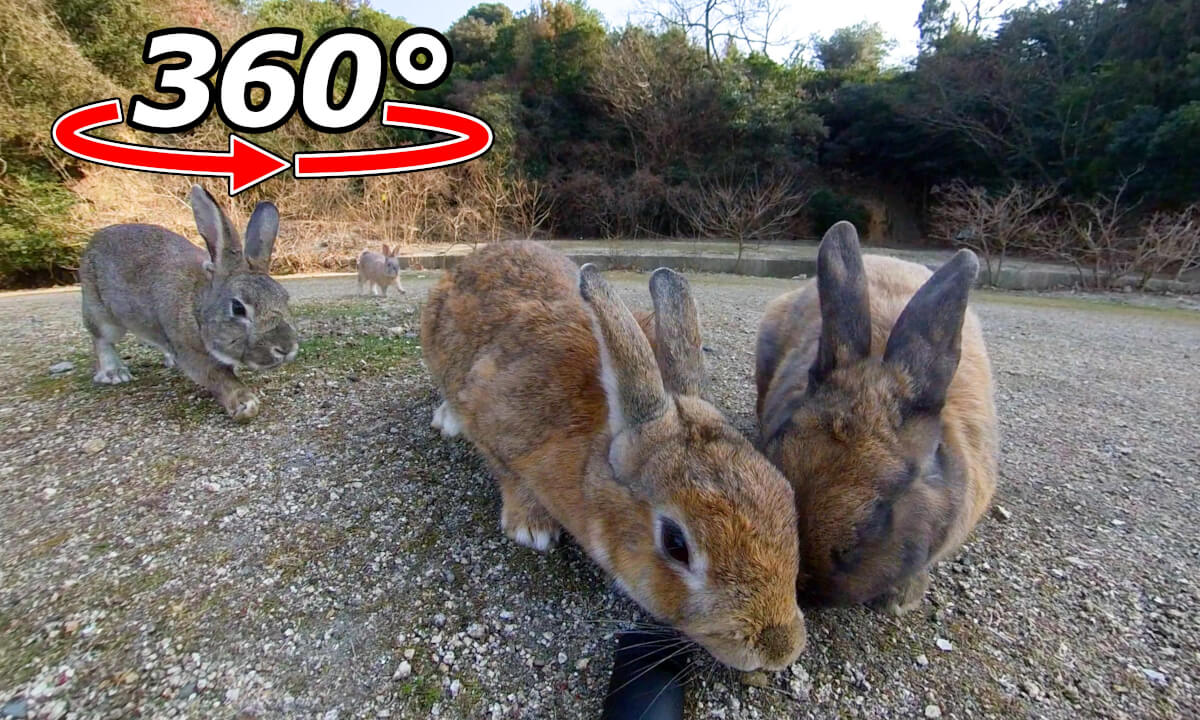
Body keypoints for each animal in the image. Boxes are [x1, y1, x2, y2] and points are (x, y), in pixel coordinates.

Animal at [79, 185, 299, 423]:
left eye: (285, 297)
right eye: (238, 308)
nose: (286, 348)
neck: (197, 307)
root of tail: (95, 238)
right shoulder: (191, 352)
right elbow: (218, 377)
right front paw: (244, 404)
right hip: (101, 312)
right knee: (101, 339)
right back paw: (115, 373)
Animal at [421, 241, 806, 672]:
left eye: (786, 497)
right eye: (676, 544)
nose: (778, 649)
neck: (593, 453)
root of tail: (480, 254)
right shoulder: (491, 418)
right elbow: (510, 476)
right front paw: (531, 529)